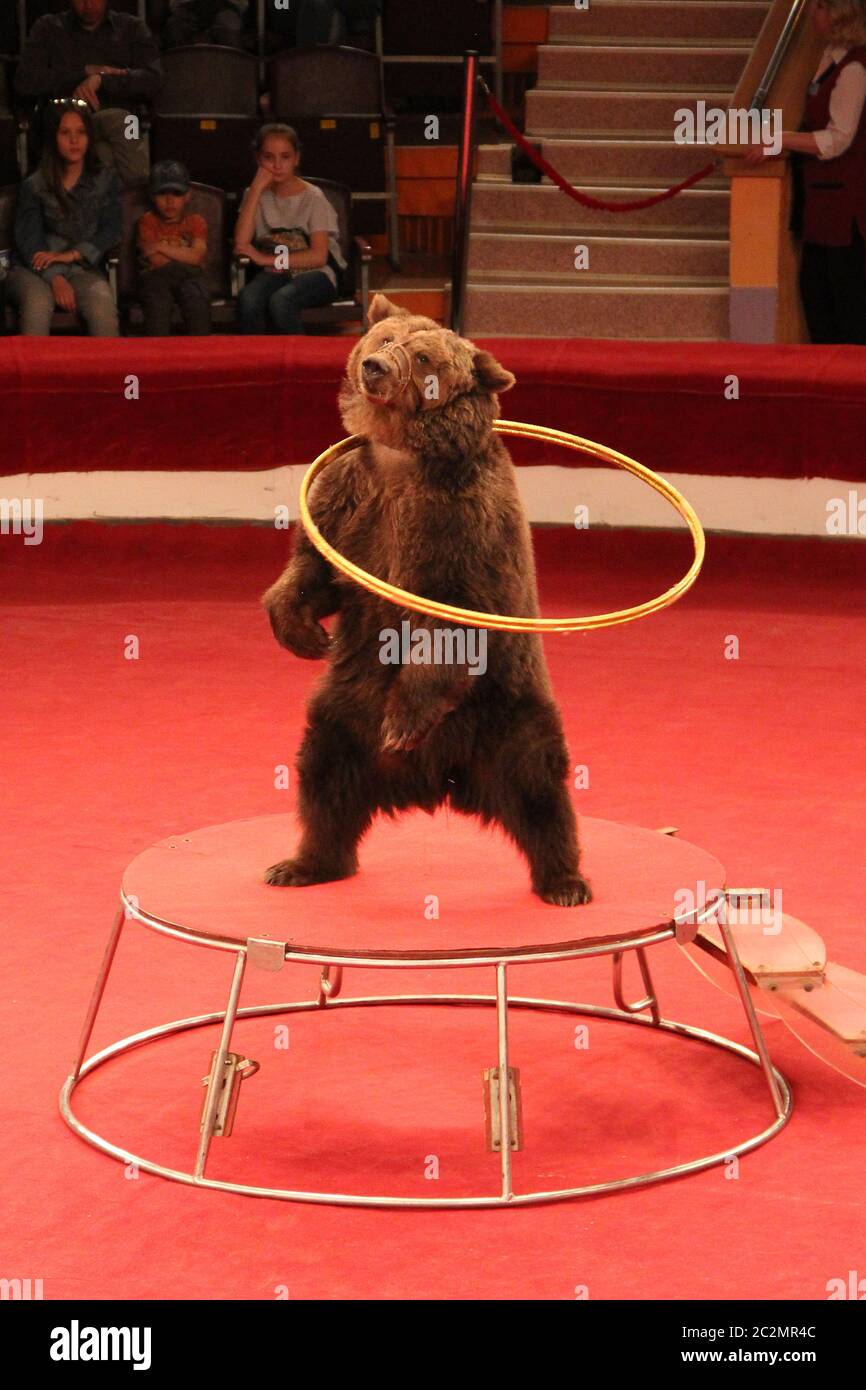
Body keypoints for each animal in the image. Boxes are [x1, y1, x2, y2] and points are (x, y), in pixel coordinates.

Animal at [261, 293, 592, 906]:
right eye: (386, 338)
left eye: (422, 356)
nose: (375, 368)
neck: (399, 454)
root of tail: (437, 779)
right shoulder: (349, 496)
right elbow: (314, 564)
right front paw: (301, 629)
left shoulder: (453, 519)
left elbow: (450, 619)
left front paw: (404, 717)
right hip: (345, 712)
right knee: (323, 777)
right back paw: (304, 863)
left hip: (507, 713)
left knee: (540, 787)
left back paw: (564, 880)